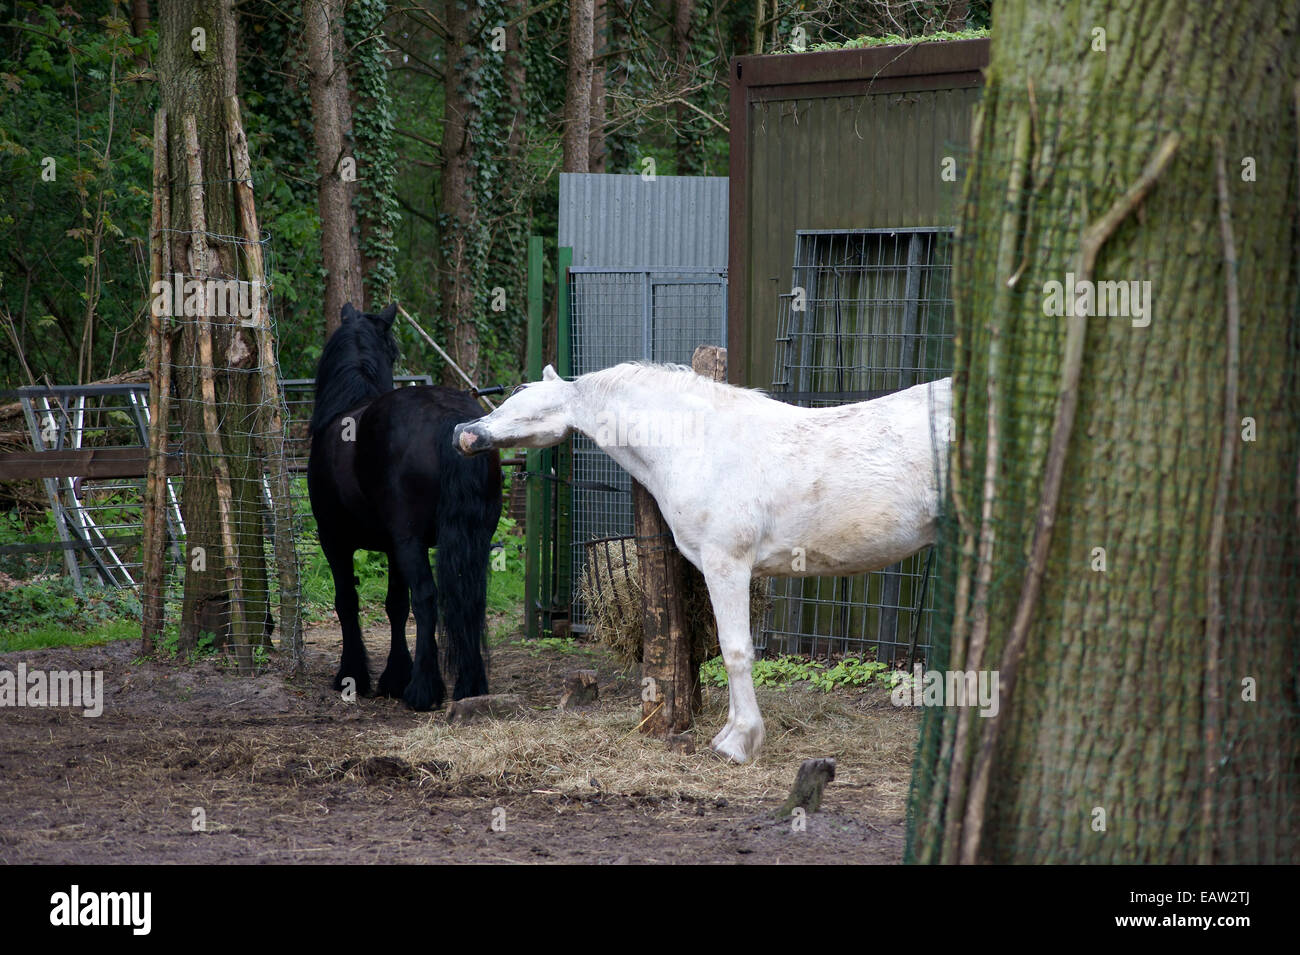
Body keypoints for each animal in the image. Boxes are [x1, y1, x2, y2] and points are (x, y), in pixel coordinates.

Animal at [308, 302, 502, 710]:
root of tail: (454, 420)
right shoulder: (392, 546)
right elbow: (395, 604)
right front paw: (395, 675)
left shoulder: (334, 540)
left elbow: (347, 600)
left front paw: (355, 675)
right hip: (471, 537)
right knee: (470, 597)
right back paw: (470, 685)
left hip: (410, 541)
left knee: (427, 597)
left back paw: (423, 690)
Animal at [452, 361, 951, 762]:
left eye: (524, 398)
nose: (465, 433)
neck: (703, 444)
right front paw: (726, 733)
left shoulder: (726, 564)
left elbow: (735, 652)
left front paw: (740, 743)